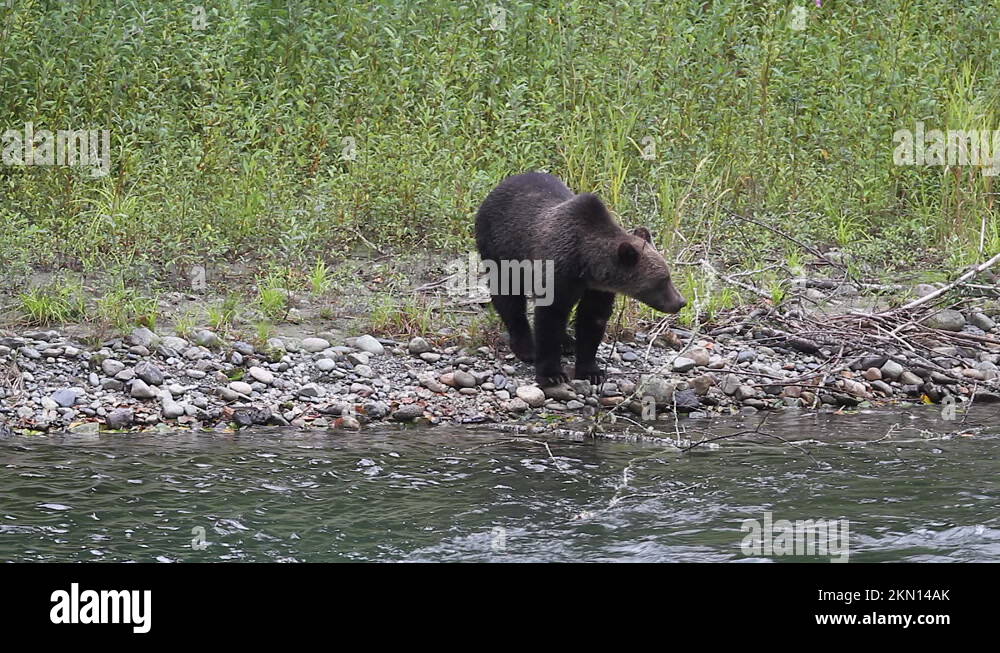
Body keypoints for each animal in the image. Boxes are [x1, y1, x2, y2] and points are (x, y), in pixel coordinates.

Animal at [475, 172, 686, 387]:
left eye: (668, 276)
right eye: (662, 280)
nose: (681, 302)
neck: (585, 265)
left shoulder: (599, 290)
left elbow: (592, 320)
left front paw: (591, 370)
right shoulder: (558, 274)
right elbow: (550, 318)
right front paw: (551, 373)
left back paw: (568, 342)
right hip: (500, 247)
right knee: (509, 297)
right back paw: (526, 347)